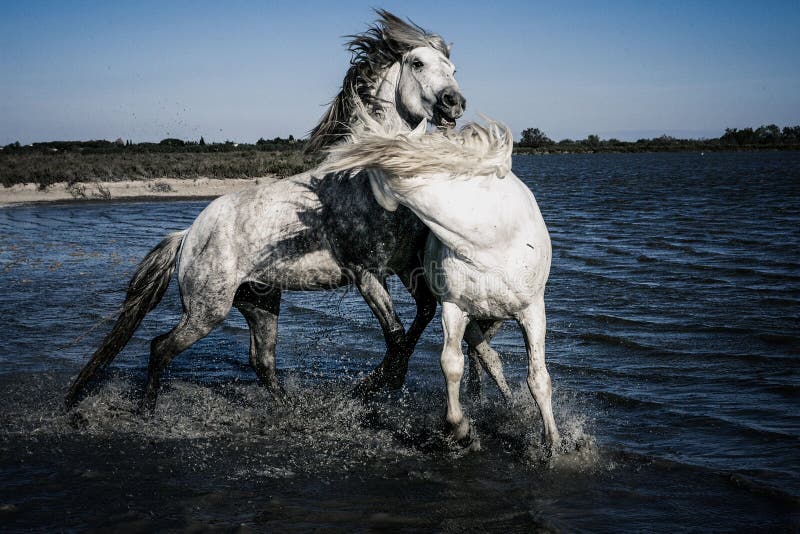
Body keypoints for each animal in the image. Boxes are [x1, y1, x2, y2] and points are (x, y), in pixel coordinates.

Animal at [64, 10, 469, 411]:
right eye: (417, 63)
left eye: (452, 68)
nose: (454, 102)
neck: (368, 180)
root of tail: (188, 236)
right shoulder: (366, 272)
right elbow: (396, 336)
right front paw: (374, 386)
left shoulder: (404, 265)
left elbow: (422, 317)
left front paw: (377, 383)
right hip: (208, 309)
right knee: (161, 348)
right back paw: (148, 410)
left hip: (260, 302)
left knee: (262, 360)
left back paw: (290, 410)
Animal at [323, 113, 561, 451]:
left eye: (358, 177)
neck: (488, 237)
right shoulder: (454, 307)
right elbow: (451, 363)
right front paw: (460, 428)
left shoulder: (532, 311)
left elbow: (538, 379)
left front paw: (552, 443)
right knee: (486, 357)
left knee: (490, 358)